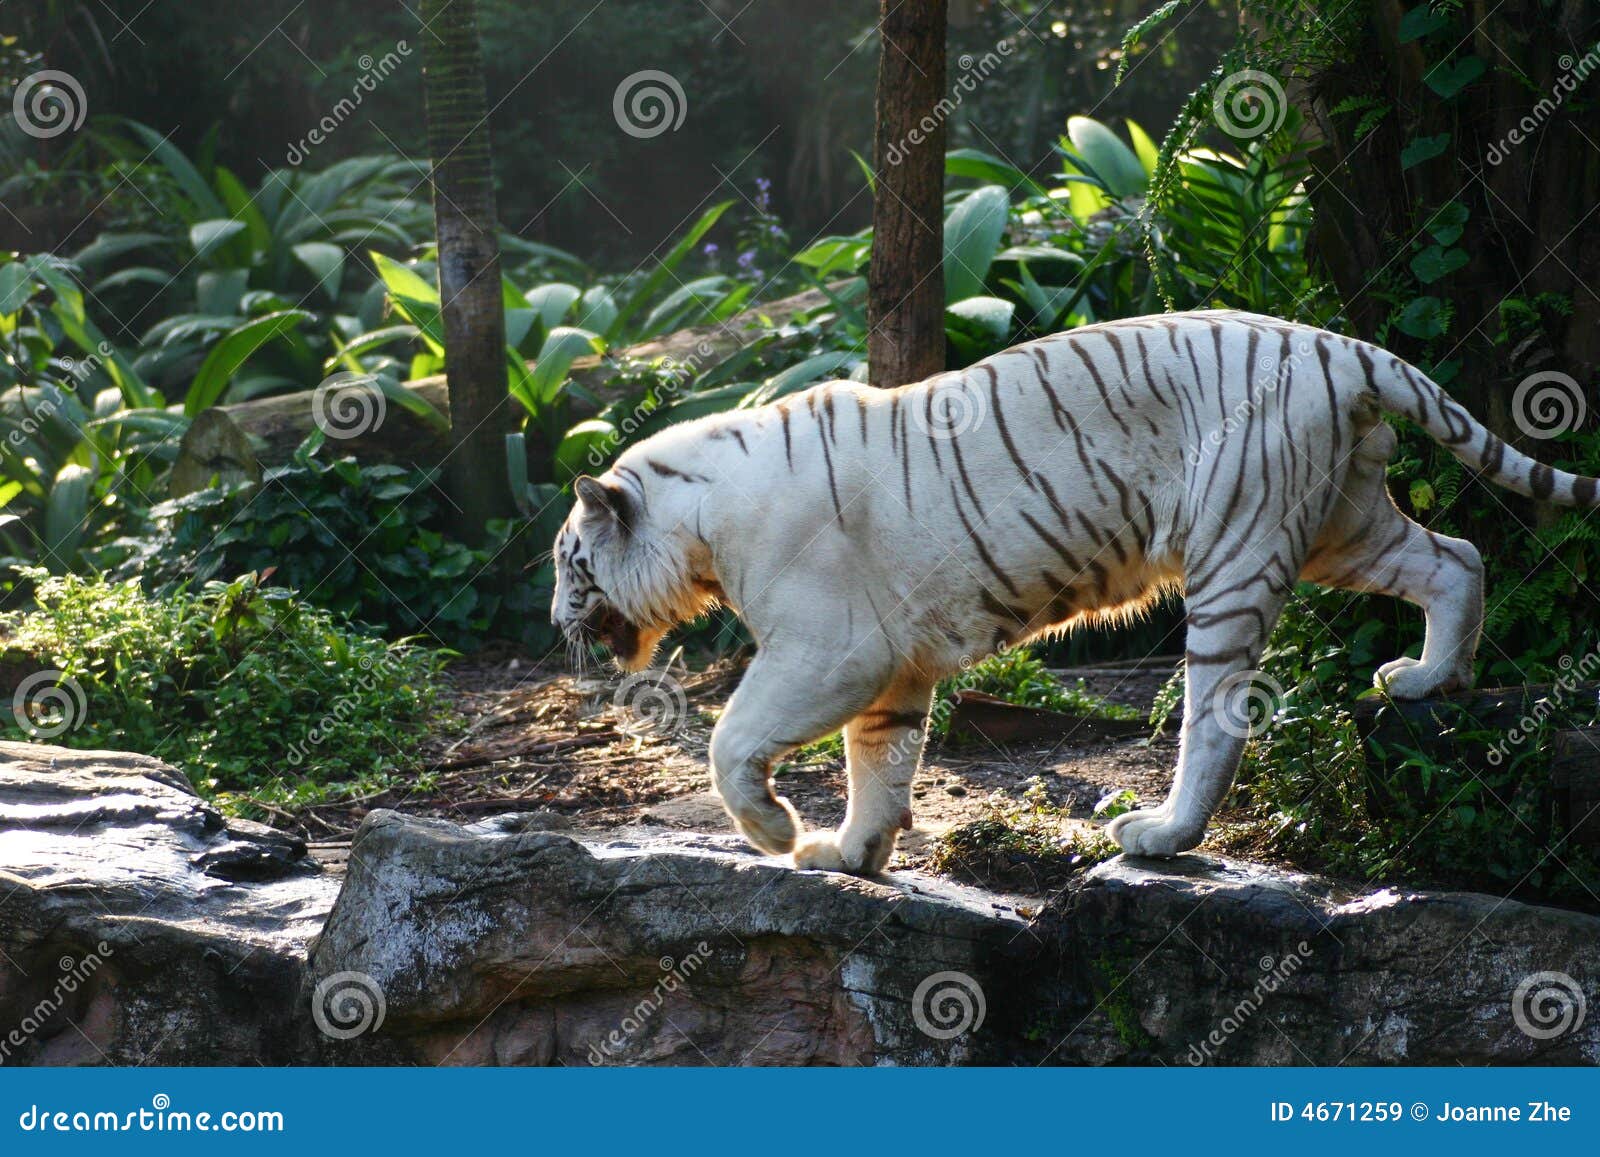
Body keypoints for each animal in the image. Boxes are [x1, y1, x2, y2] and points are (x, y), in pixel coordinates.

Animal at [550, 309, 1599, 875]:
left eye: (569, 563)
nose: (556, 622)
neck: (697, 526)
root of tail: (1337, 345)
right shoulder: (892, 669)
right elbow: (879, 765)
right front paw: (851, 853)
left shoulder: (829, 650)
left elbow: (733, 739)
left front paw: (775, 831)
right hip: (1344, 520)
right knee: (1457, 555)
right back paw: (1429, 680)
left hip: (1235, 547)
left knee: (1219, 715)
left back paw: (1163, 834)